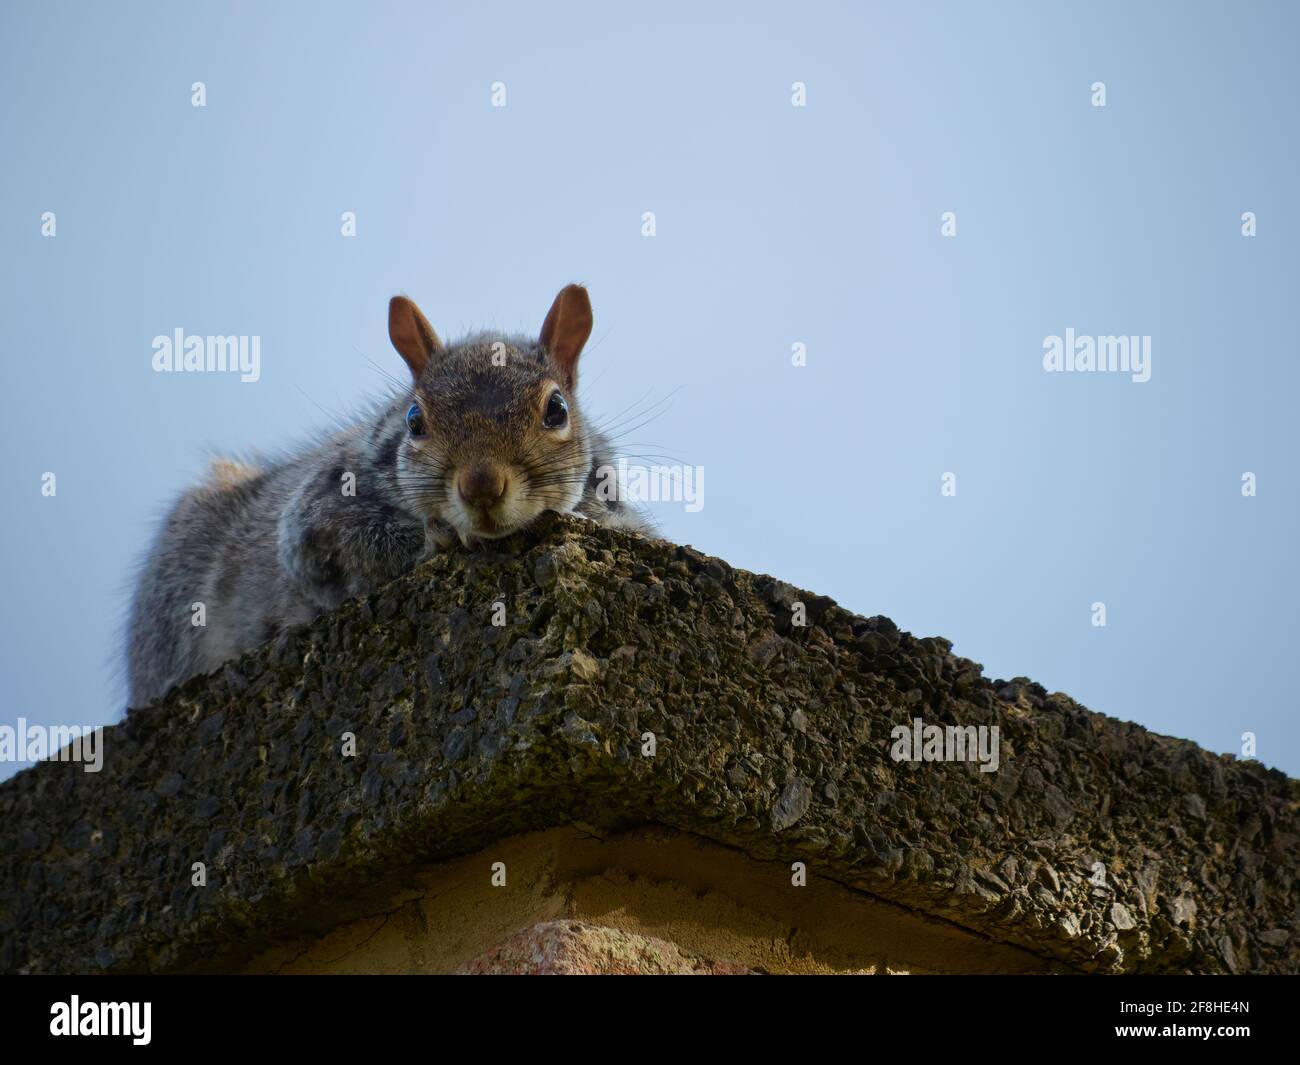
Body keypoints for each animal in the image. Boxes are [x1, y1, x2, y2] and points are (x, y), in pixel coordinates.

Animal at [126, 284, 652, 708]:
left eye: (557, 409)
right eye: (414, 421)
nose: (481, 487)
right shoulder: (316, 510)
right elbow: (347, 543)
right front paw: (435, 539)